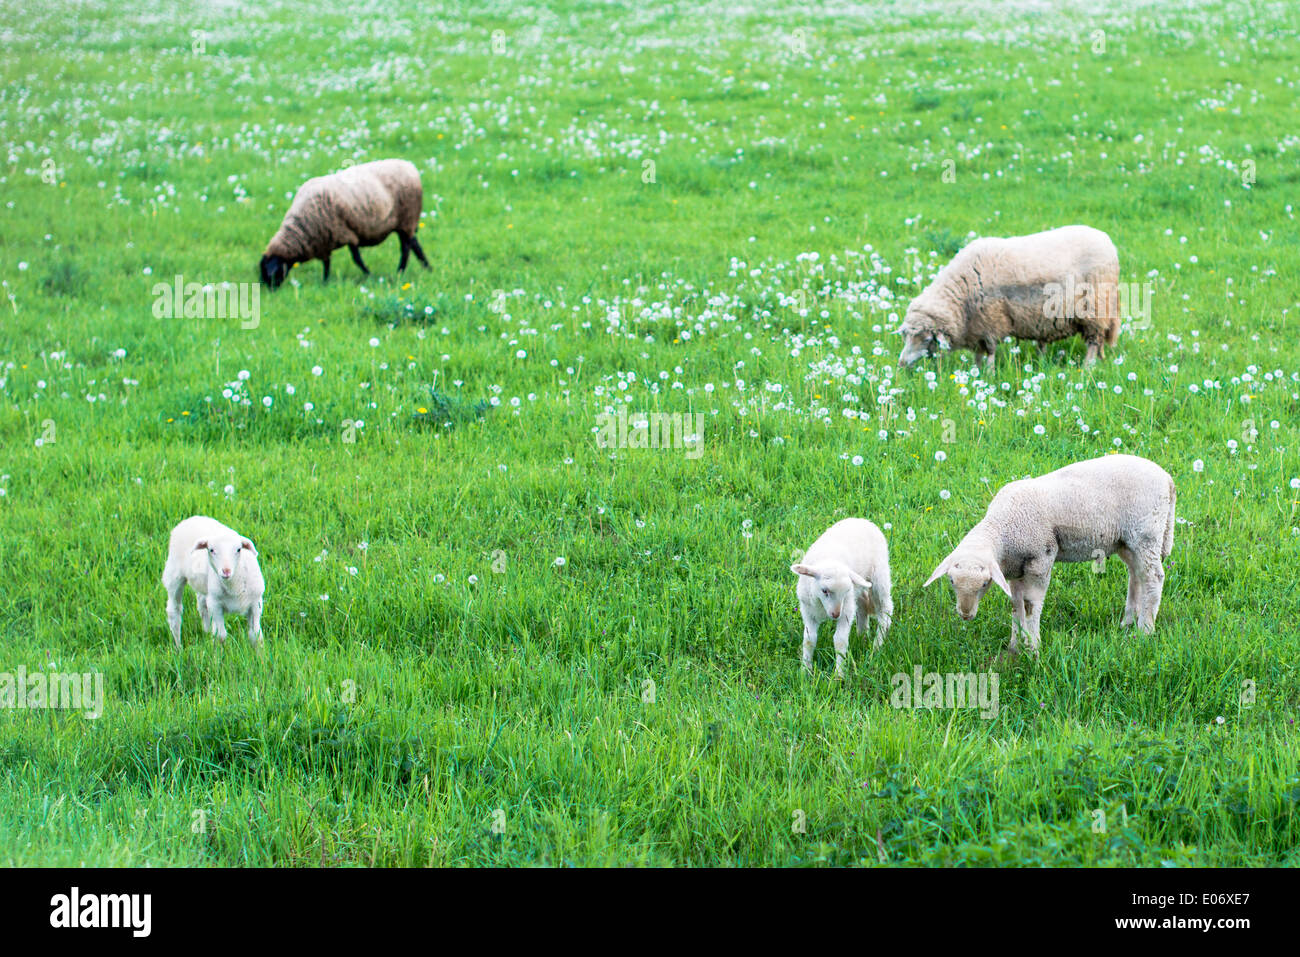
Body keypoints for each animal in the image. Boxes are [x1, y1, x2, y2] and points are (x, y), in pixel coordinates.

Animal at [162, 516, 264, 648]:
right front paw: (220, 653)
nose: (226, 571)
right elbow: (221, 636)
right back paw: (178, 647)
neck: (234, 586)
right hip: (174, 575)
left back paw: (206, 633)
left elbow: (256, 635)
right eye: (211, 550)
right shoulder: (215, 604)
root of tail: (192, 518)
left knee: (201, 604)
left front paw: (260, 654)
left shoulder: (256, 603)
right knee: (174, 611)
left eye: (238, 549)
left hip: (204, 586)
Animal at [259, 158, 429, 288]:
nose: (270, 292)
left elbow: (356, 259)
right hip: (405, 223)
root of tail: (410, 166)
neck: (301, 228)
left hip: (407, 218)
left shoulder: (346, 233)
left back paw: (400, 271)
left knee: (406, 249)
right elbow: (327, 263)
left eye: (271, 274)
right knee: (415, 244)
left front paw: (368, 274)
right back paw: (428, 268)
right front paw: (325, 281)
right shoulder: (324, 241)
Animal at [790, 518, 893, 676]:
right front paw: (805, 670)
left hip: (879, 574)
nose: (835, 614)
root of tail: (861, 520)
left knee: (885, 609)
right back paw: (862, 636)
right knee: (863, 604)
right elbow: (809, 640)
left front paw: (839, 674)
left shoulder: (846, 609)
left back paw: (876, 646)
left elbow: (840, 640)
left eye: (845, 591)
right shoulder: (808, 611)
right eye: (824, 591)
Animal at [897, 224, 1121, 370]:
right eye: (905, 336)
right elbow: (978, 353)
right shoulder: (977, 327)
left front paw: (988, 373)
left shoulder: (991, 321)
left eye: (926, 339)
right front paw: (976, 372)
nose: (901, 364)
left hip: (1095, 308)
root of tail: (1107, 241)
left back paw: (1088, 367)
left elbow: (989, 351)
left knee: (1094, 341)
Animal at [924, 454, 1175, 657]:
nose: (966, 615)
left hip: (1146, 533)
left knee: (1153, 577)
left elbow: (1031, 605)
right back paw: (1128, 622)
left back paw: (1145, 630)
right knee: (1136, 574)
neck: (1001, 527)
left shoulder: (1040, 560)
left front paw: (1033, 647)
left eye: (985, 584)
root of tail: (1167, 478)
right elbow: (1016, 605)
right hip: (1126, 541)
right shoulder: (1016, 568)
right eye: (951, 581)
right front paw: (1015, 646)